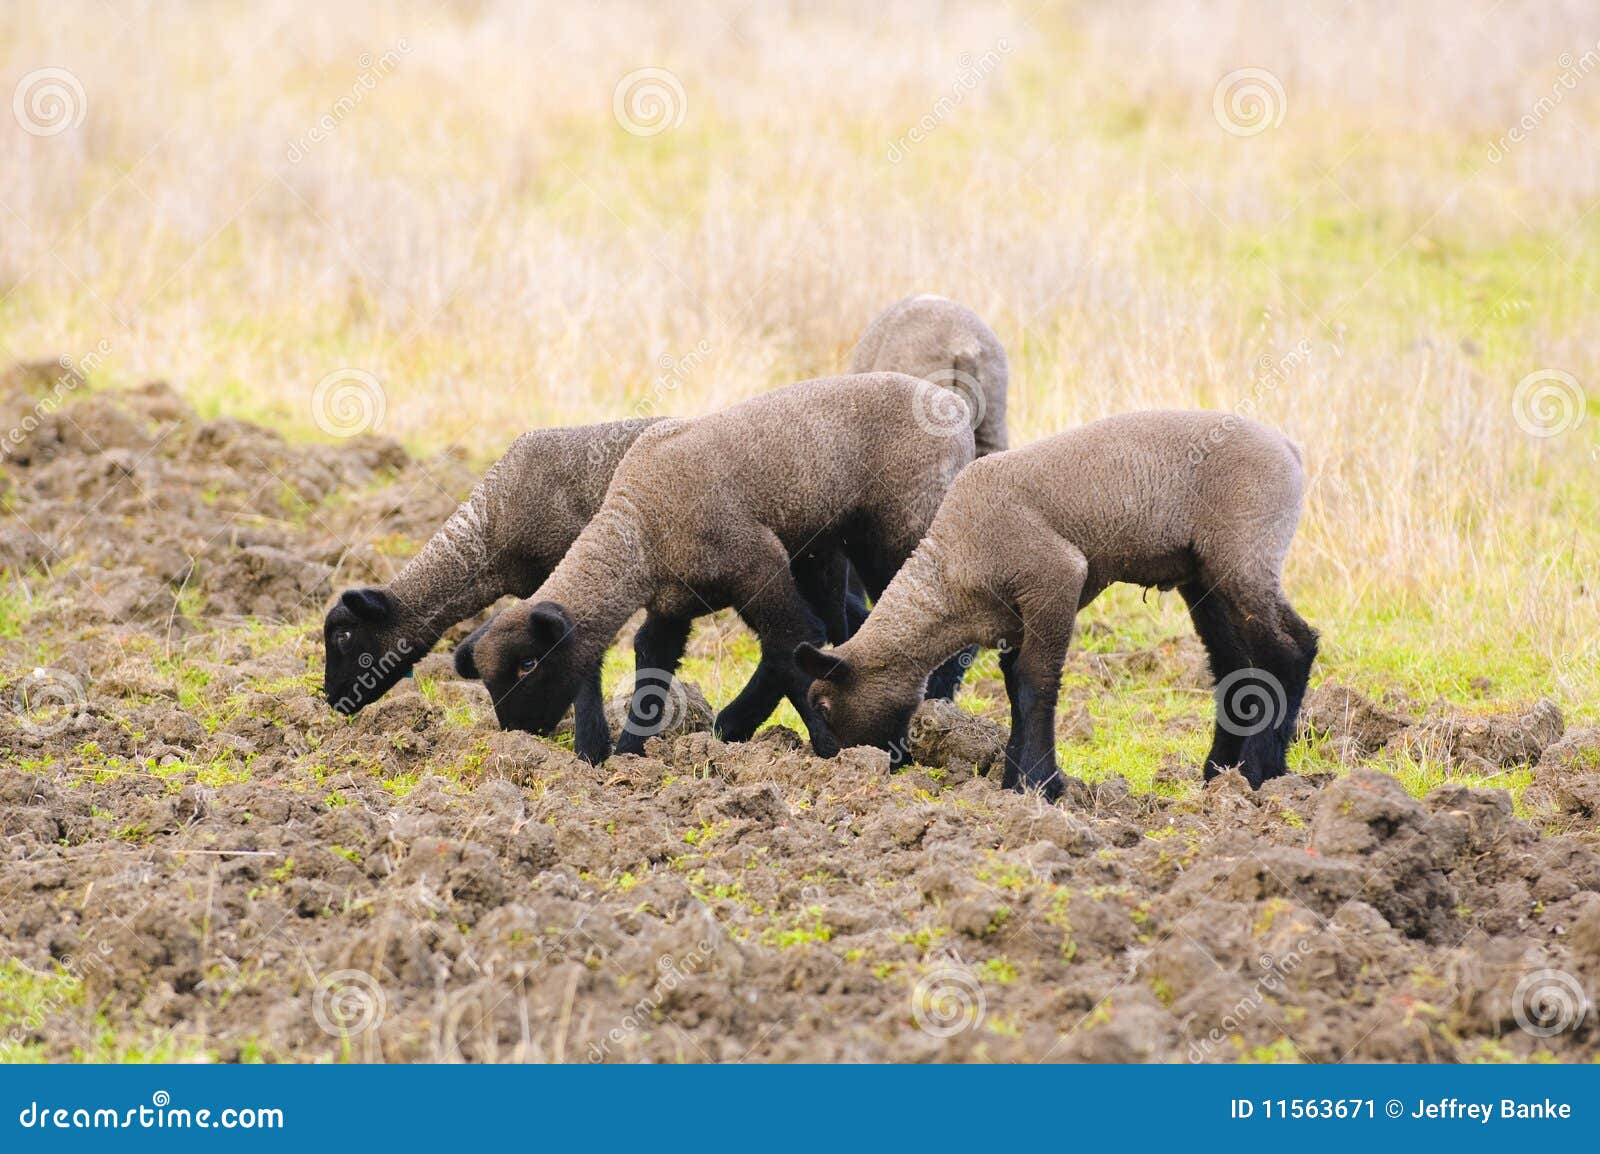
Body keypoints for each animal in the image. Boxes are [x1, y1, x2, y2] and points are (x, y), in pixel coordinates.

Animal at [453, 372, 976, 762]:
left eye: (528, 664)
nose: (518, 732)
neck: (640, 524)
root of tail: (952, 403)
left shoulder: (757, 567)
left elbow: (791, 644)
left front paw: (833, 753)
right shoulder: (672, 606)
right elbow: (651, 667)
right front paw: (628, 755)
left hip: (900, 527)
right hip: (825, 547)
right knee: (842, 629)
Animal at [795, 410, 1318, 800]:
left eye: (822, 704)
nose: (839, 765)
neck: (950, 575)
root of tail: (1289, 449)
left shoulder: (1055, 578)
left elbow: (1036, 686)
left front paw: (1040, 786)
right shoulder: (1012, 619)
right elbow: (1015, 692)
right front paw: (1016, 780)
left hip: (1245, 550)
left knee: (1291, 649)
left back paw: (1261, 773)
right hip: (1204, 573)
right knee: (1234, 665)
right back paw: (1218, 773)